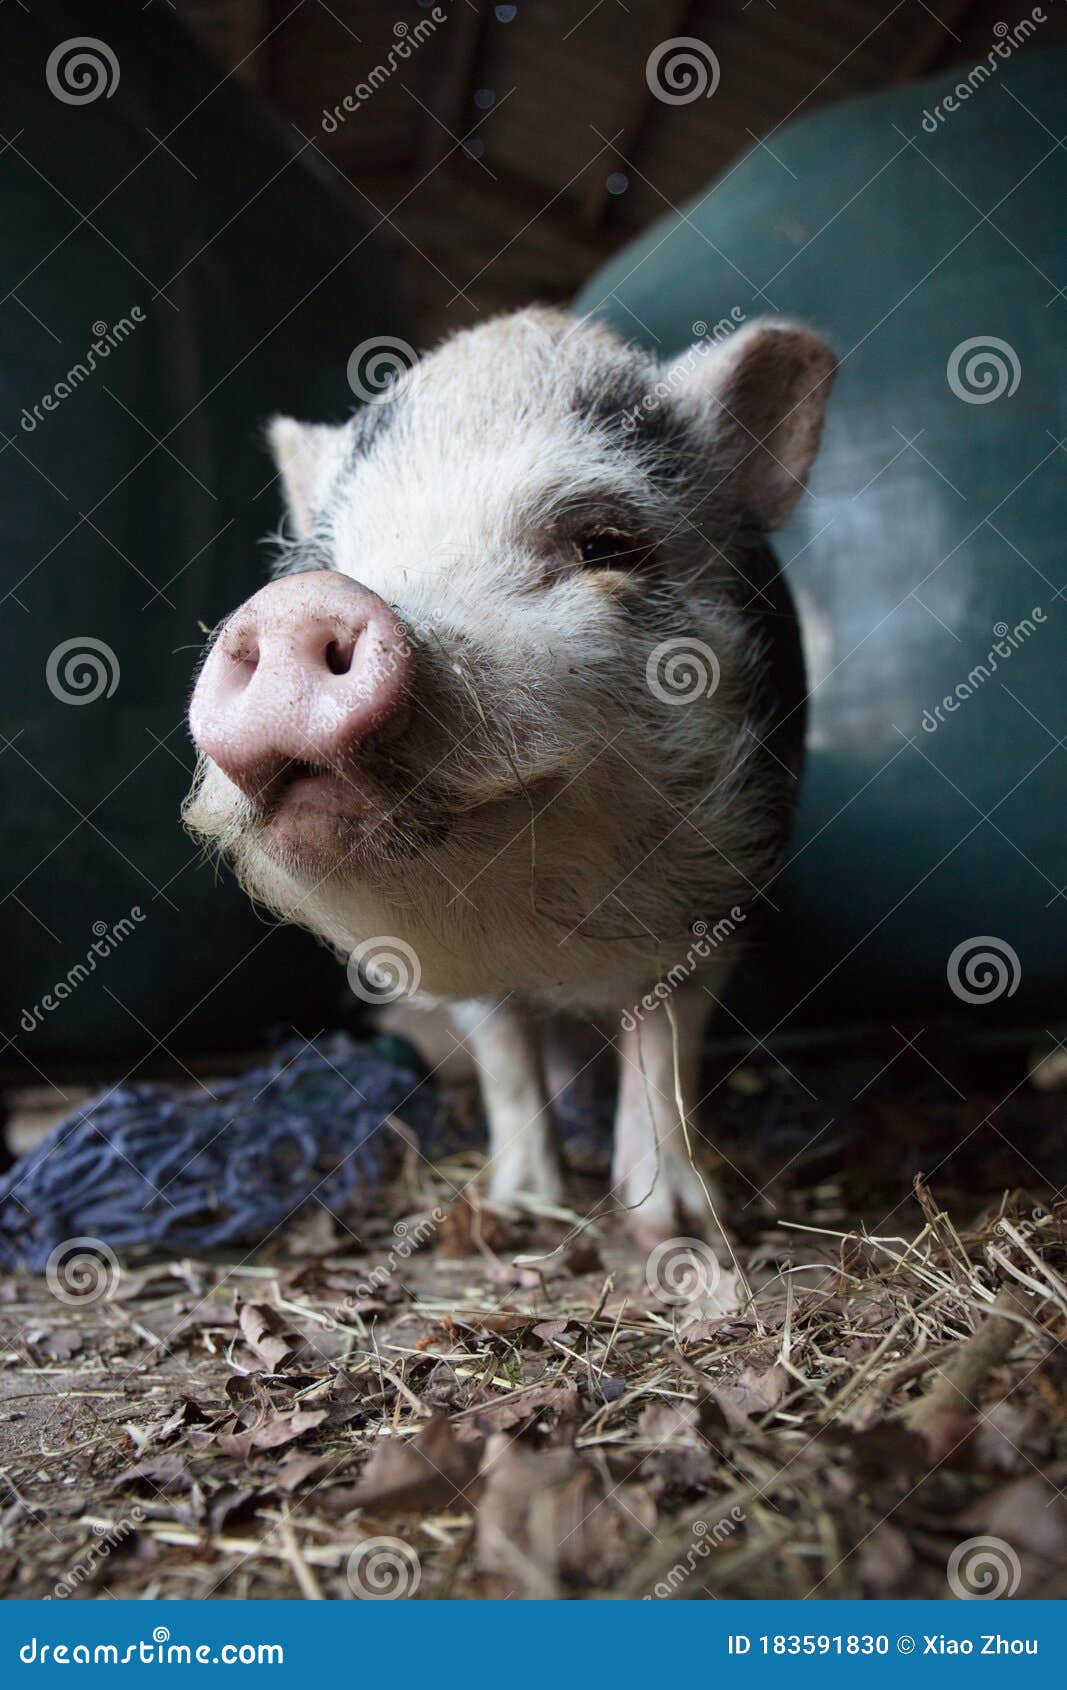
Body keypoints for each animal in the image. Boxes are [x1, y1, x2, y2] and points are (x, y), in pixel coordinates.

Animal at [184, 308, 835, 1244]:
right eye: (323, 559)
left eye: (603, 544)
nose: (298, 604)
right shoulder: (465, 982)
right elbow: (504, 1060)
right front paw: (520, 1208)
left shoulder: (727, 891)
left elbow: (663, 1044)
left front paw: (673, 1227)